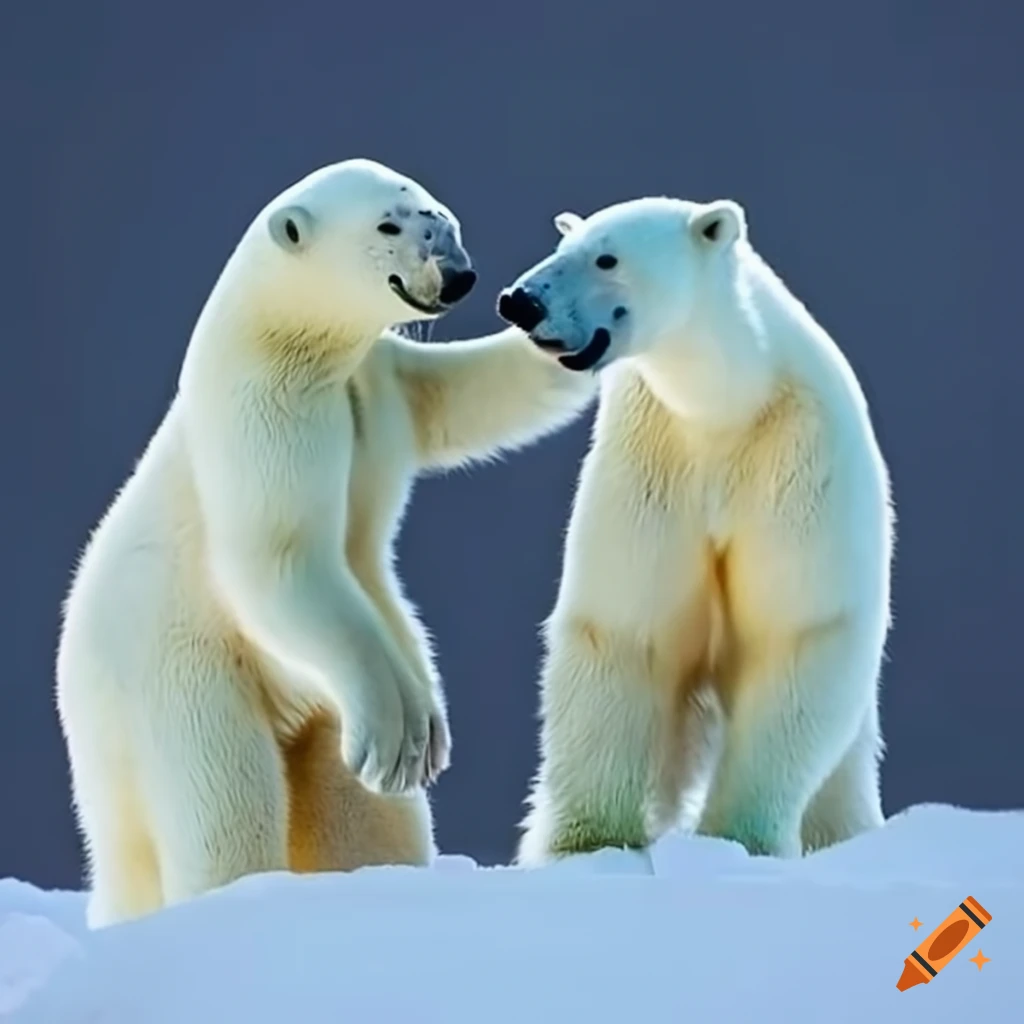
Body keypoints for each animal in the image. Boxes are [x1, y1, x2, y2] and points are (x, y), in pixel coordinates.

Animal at [56, 158, 596, 928]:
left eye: (441, 215)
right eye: (389, 225)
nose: (457, 276)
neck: (279, 343)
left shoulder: (381, 383)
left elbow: (484, 393)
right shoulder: (266, 414)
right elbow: (279, 561)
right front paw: (396, 734)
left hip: (302, 720)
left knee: (363, 816)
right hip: (181, 679)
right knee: (222, 812)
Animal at [496, 195, 893, 864]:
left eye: (607, 257)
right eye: (562, 244)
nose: (520, 301)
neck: (723, 407)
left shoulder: (796, 462)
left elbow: (793, 633)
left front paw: (741, 839)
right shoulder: (654, 458)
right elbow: (627, 629)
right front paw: (588, 845)